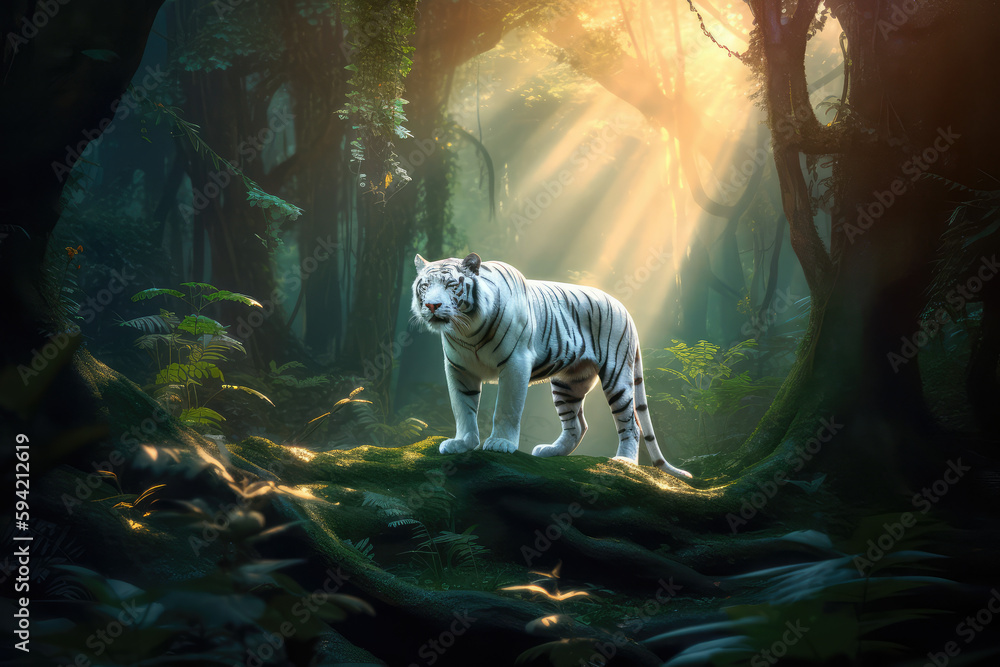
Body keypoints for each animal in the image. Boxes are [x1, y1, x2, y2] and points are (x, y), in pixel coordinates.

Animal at [410, 252, 692, 481]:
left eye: (451, 284)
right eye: (425, 285)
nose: (433, 305)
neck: (466, 329)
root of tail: (624, 308)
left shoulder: (515, 363)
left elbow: (506, 408)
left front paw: (500, 443)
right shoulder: (458, 369)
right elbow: (463, 408)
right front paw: (462, 443)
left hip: (617, 376)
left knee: (631, 422)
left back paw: (624, 462)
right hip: (568, 382)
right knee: (577, 425)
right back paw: (551, 452)